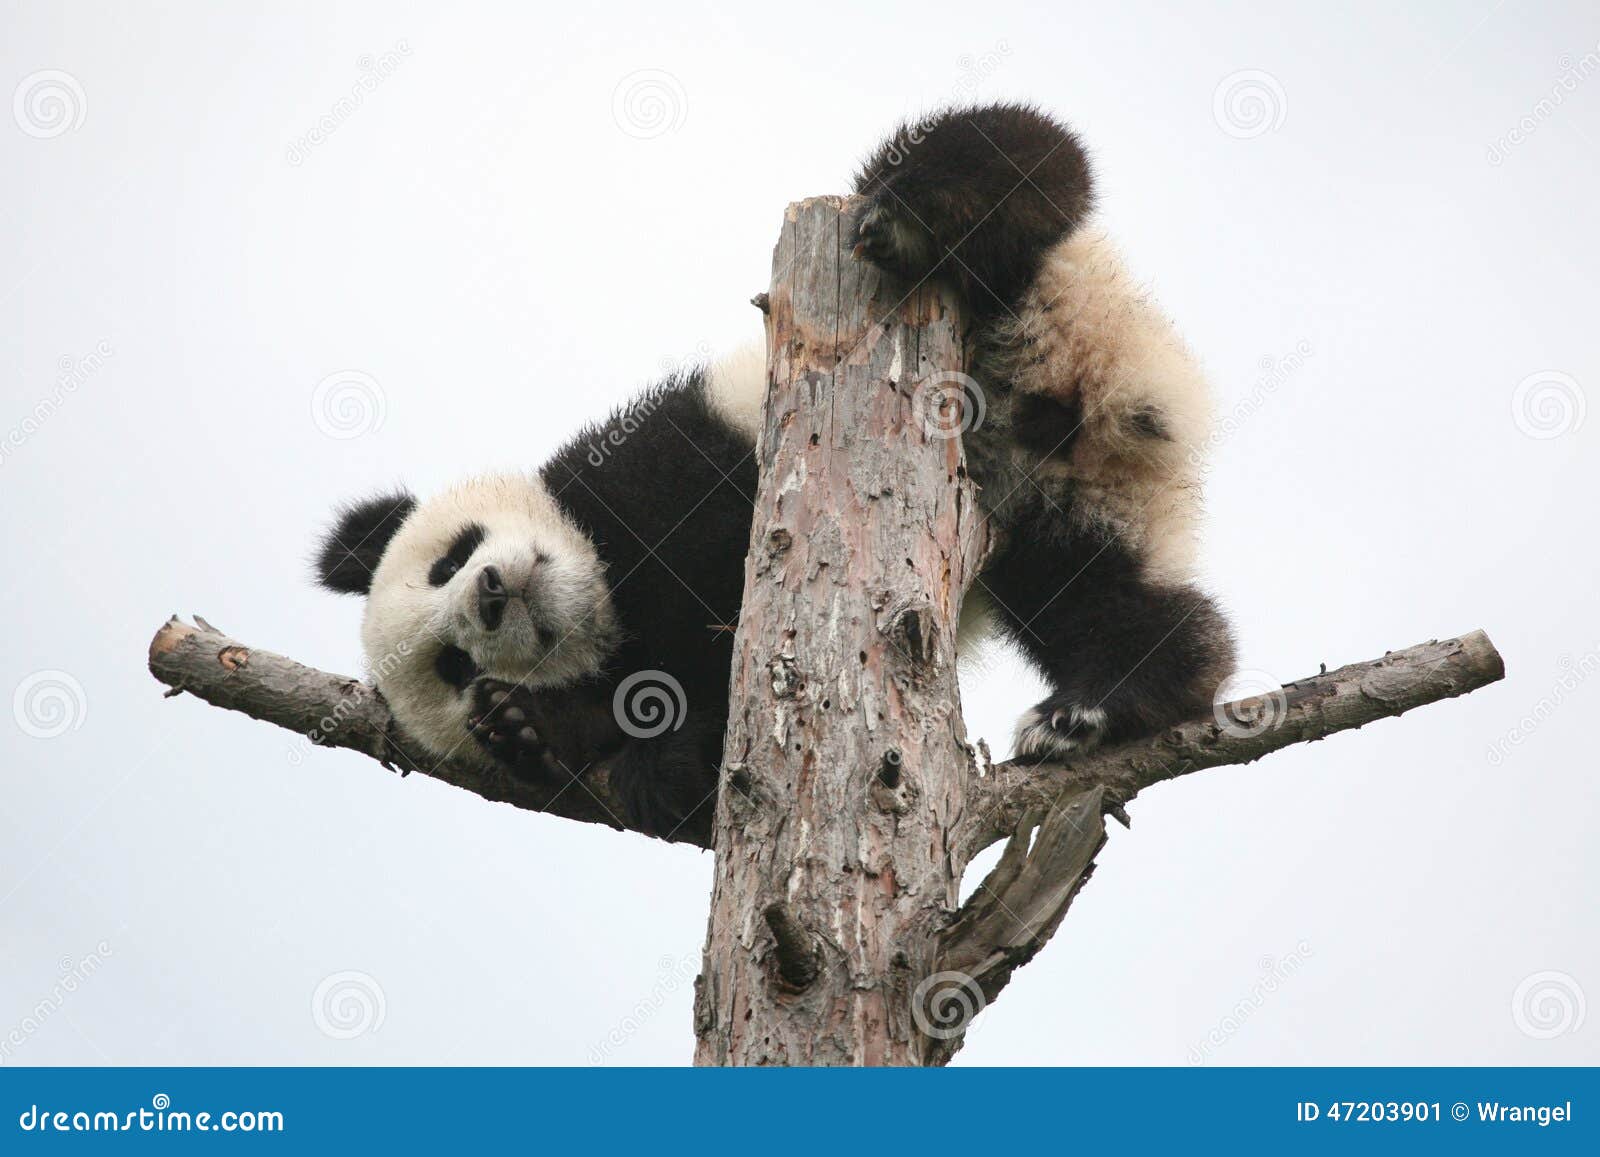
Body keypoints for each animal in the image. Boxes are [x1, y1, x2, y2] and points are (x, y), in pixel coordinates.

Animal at [314, 103, 1235, 843]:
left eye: (449, 558)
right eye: (455, 666)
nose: (492, 592)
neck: (608, 600)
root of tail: (1128, 390)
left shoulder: (662, 458)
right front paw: (535, 730)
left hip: (1027, 286)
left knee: (1012, 159)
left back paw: (916, 215)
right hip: (1056, 505)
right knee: (1097, 594)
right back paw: (1104, 702)